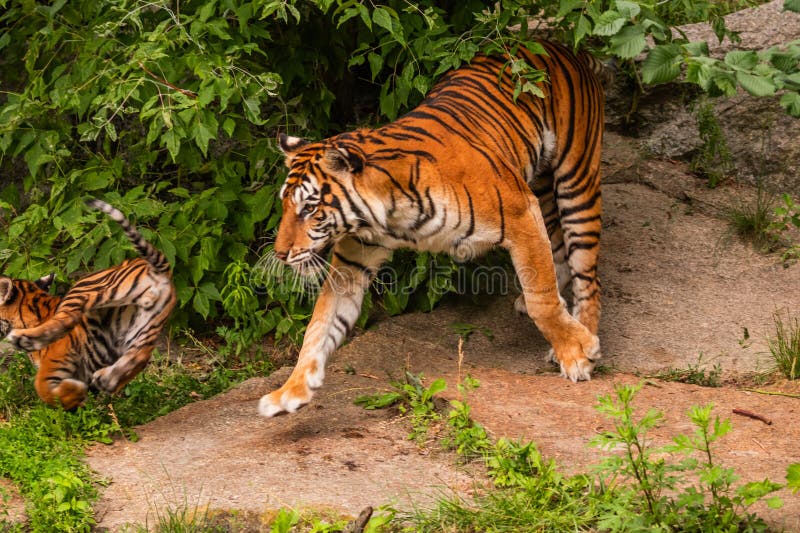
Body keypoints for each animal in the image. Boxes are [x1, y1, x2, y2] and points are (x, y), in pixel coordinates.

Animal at [0, 199, 176, 410]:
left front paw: (75, 394)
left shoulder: (54, 363)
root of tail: (157, 270)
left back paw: (25, 339)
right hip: (147, 324)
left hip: (87, 286)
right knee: (140, 356)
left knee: (67, 319)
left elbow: (43, 388)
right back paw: (106, 379)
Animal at [259, 40, 604, 417]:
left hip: (576, 180)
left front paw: (577, 350)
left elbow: (540, 295)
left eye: (309, 208)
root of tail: (560, 45)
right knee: (556, 250)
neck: (386, 218)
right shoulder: (352, 262)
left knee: (587, 275)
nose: (280, 253)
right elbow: (320, 325)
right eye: (285, 204)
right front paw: (289, 391)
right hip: (540, 187)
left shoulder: (519, 212)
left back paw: (580, 342)